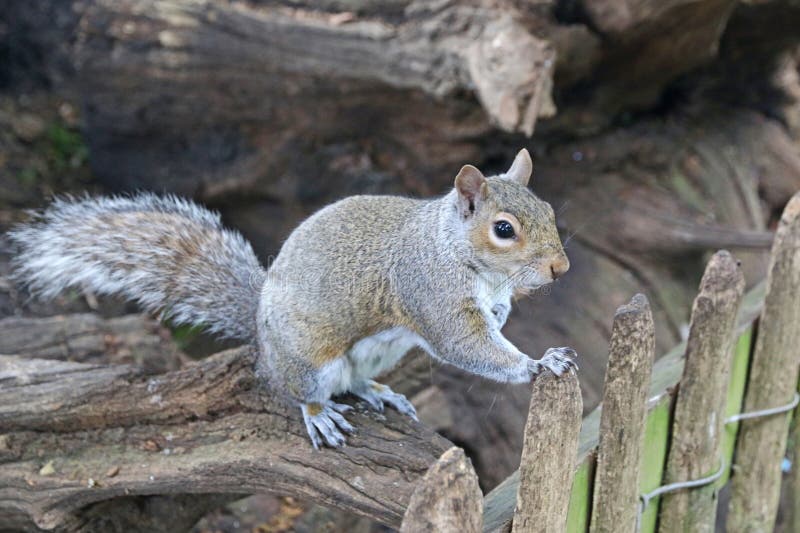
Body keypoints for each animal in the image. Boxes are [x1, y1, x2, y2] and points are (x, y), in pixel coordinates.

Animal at [9, 148, 577, 449]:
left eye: (549, 210)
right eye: (503, 229)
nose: (561, 268)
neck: (454, 247)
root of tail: (262, 343)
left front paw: (506, 319)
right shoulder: (429, 290)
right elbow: (467, 345)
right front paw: (538, 363)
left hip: (379, 351)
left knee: (355, 379)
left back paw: (377, 391)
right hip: (308, 360)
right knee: (307, 391)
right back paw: (319, 413)